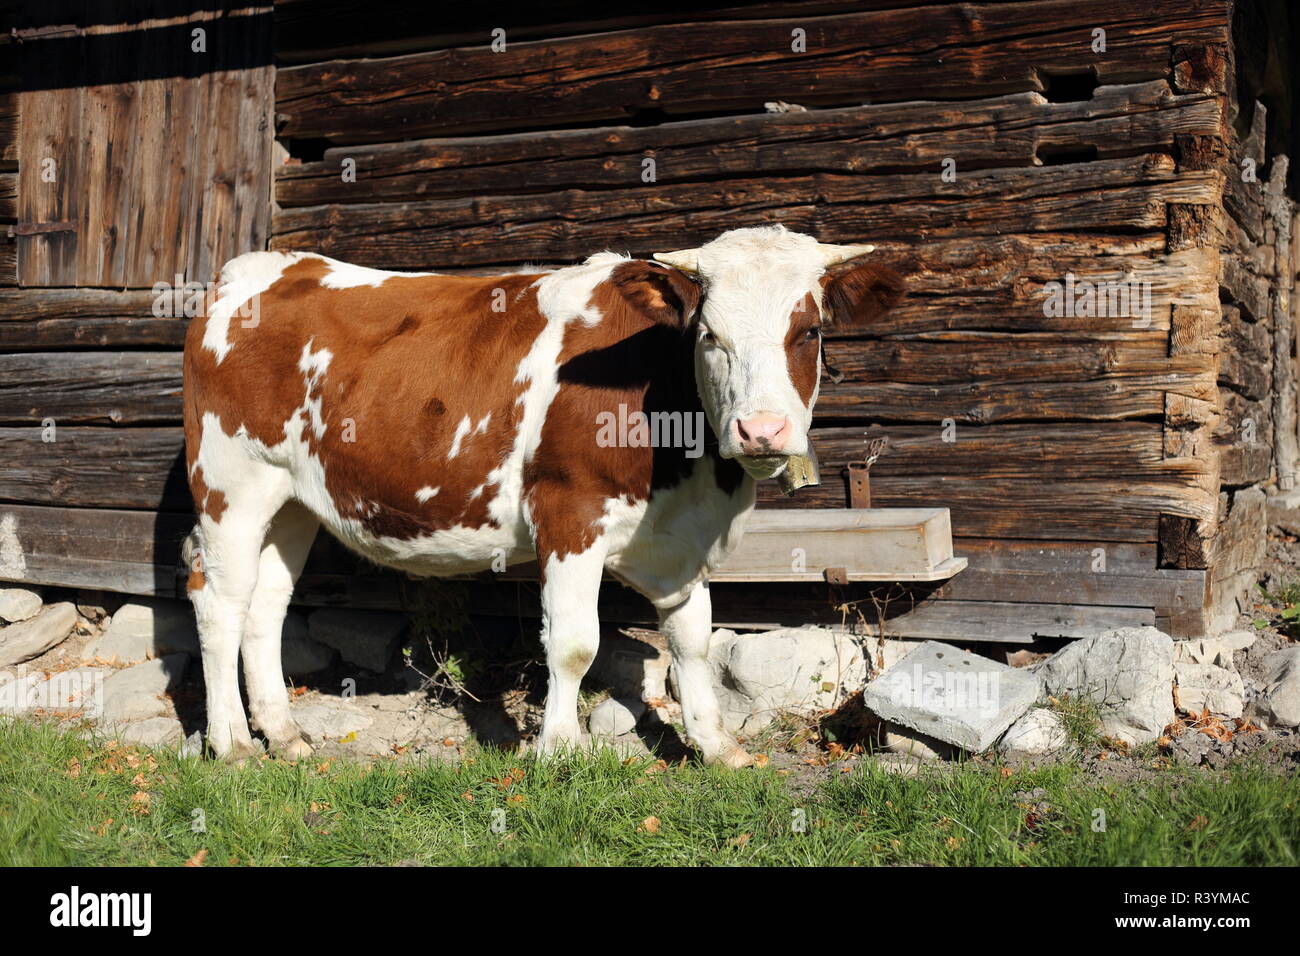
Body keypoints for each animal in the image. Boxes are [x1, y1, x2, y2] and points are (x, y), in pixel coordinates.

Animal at [182, 224, 904, 766]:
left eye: (808, 332)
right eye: (709, 335)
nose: (762, 430)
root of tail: (258, 267)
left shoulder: (681, 540)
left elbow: (693, 640)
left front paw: (716, 746)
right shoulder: (569, 512)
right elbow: (575, 643)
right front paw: (558, 750)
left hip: (293, 501)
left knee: (265, 607)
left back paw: (285, 736)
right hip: (230, 482)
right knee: (219, 603)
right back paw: (232, 745)